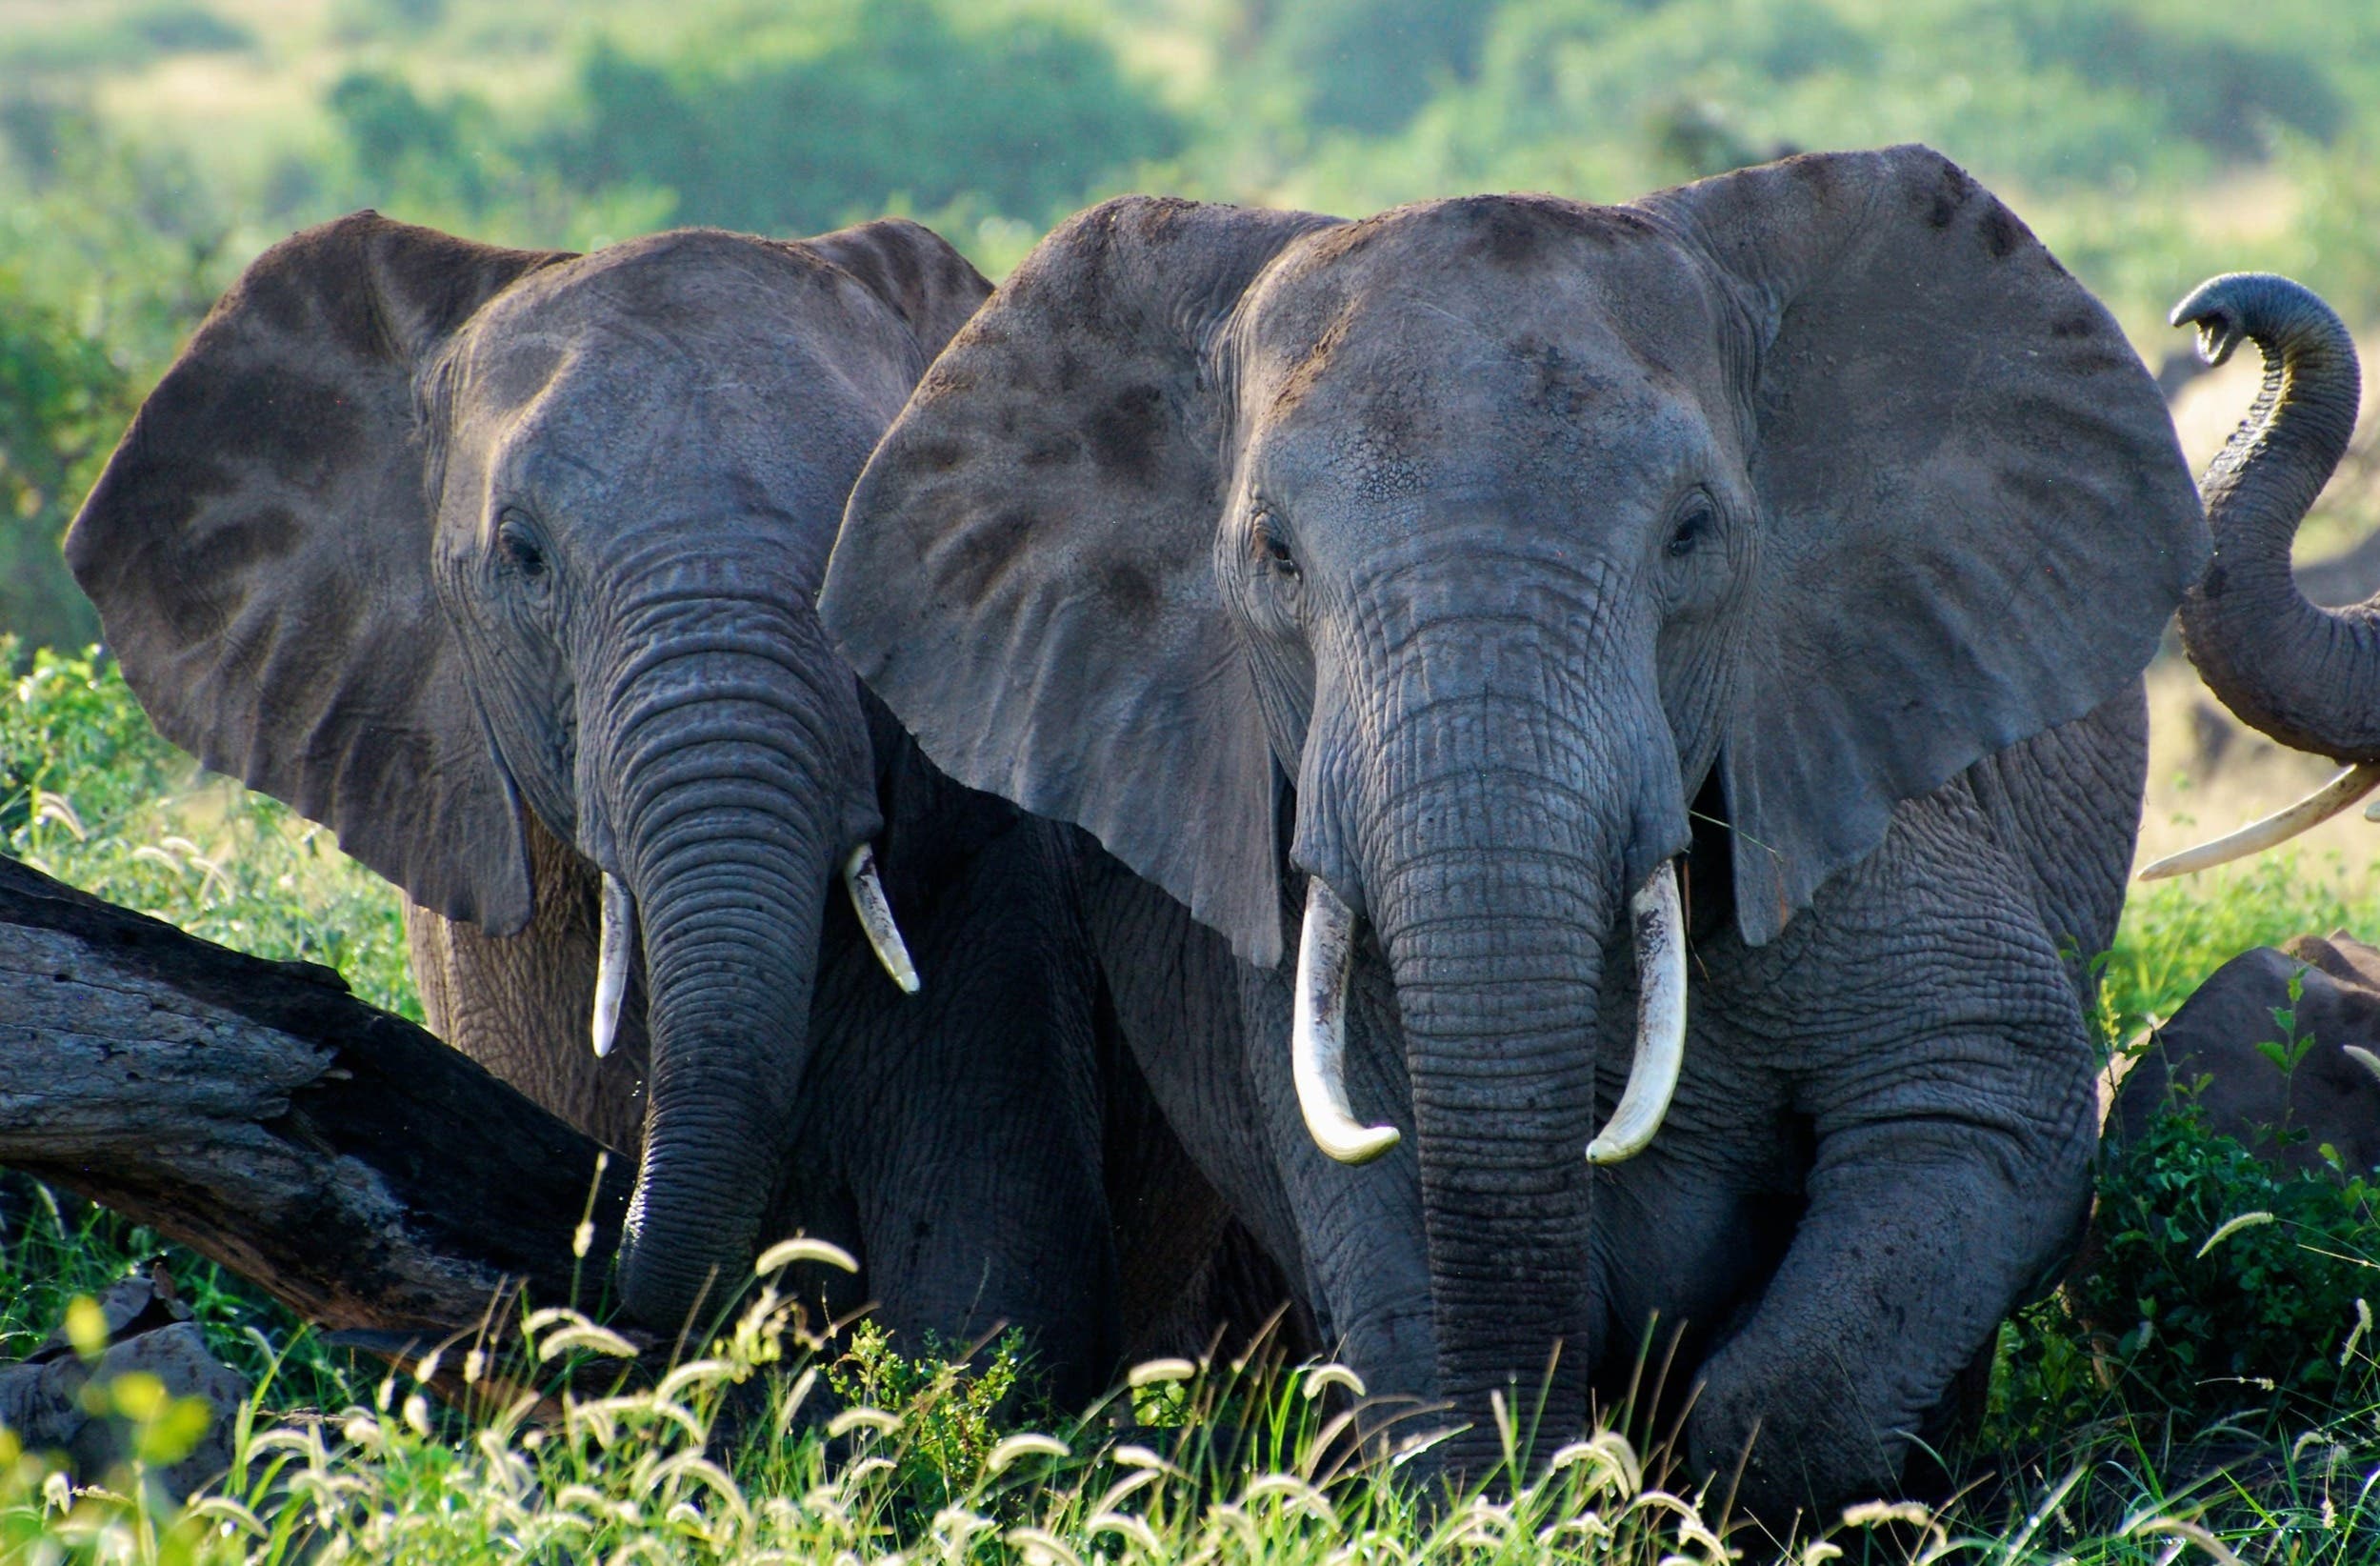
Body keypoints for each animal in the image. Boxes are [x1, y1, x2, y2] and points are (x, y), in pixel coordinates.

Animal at [818, 145, 2211, 1511]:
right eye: (1274, 555)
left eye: (1692, 535)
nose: (1546, 1465)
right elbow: (1386, 1212)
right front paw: (1501, 1492)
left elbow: (1981, 1103)